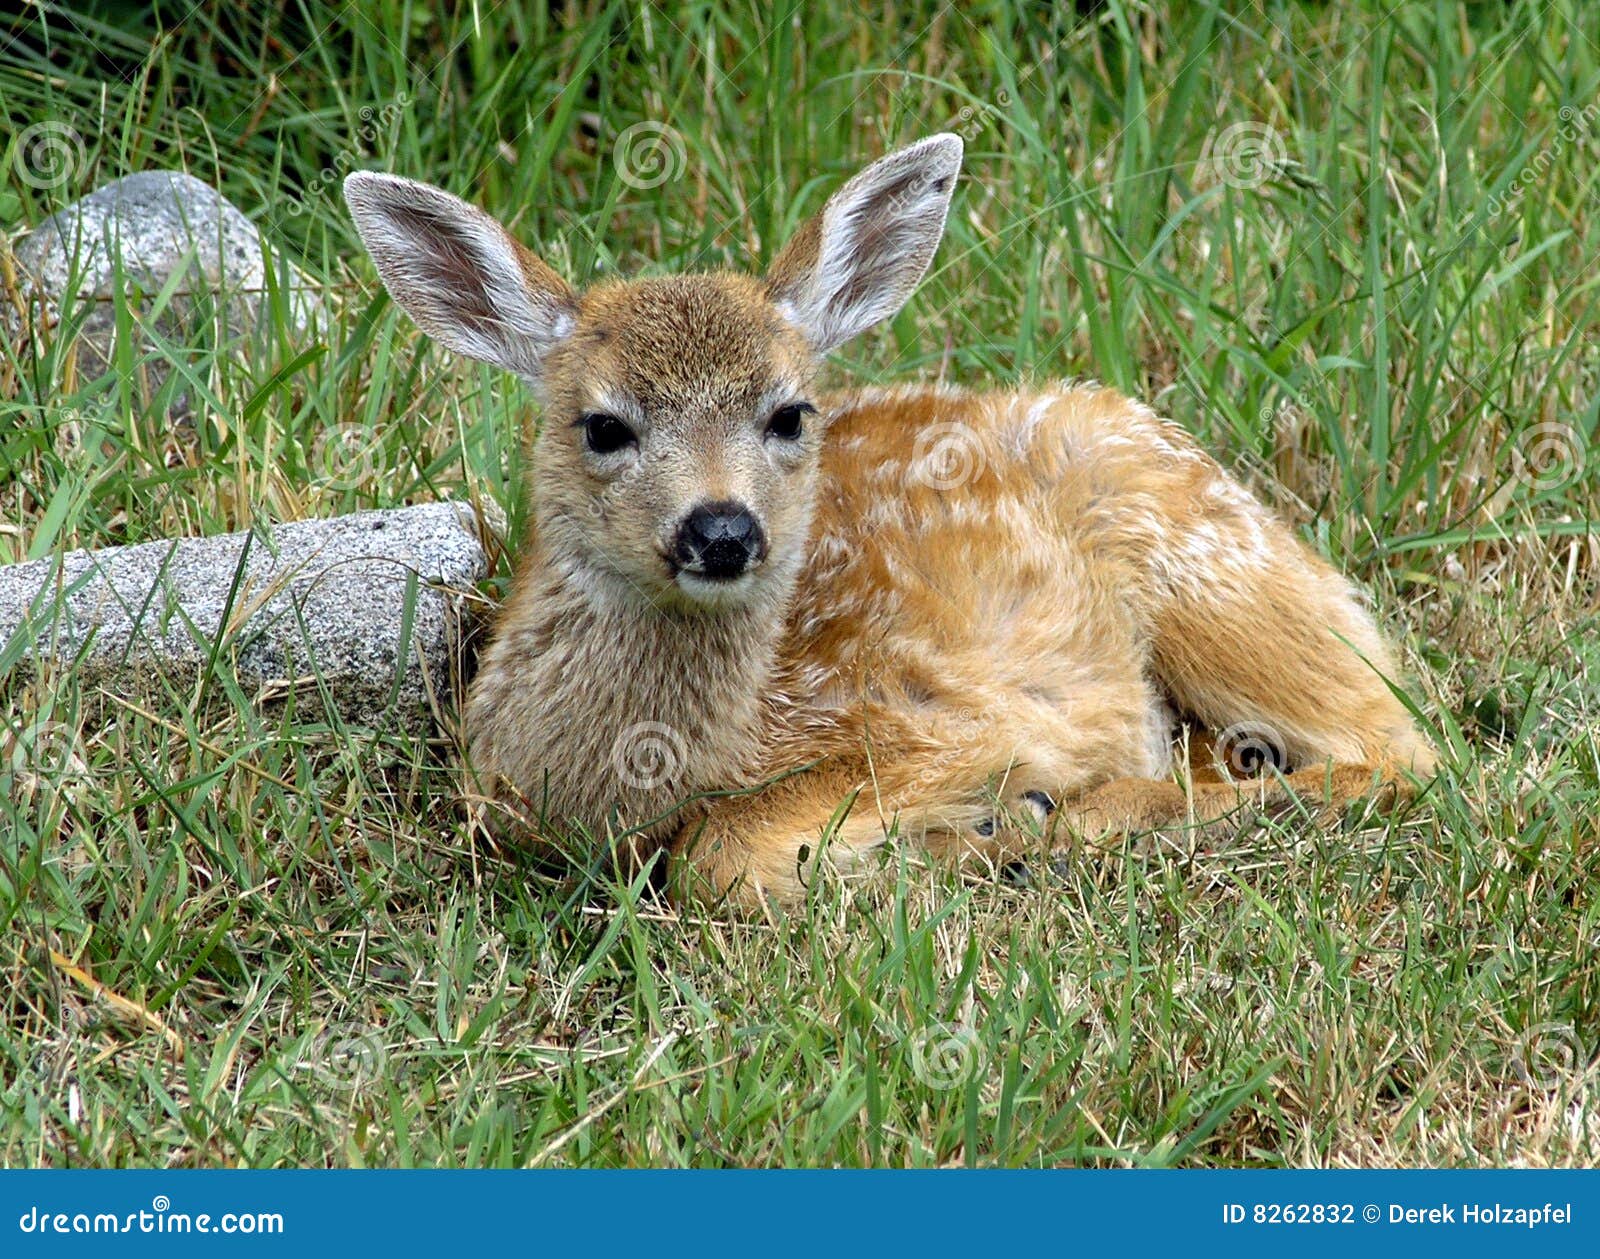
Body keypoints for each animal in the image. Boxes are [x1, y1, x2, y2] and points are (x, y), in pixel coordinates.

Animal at [343, 133, 1437, 910]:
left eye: (790, 413)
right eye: (603, 425)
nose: (722, 530)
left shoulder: (933, 723)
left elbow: (722, 855)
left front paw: (987, 828)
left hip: (1207, 572)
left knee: (1402, 751)